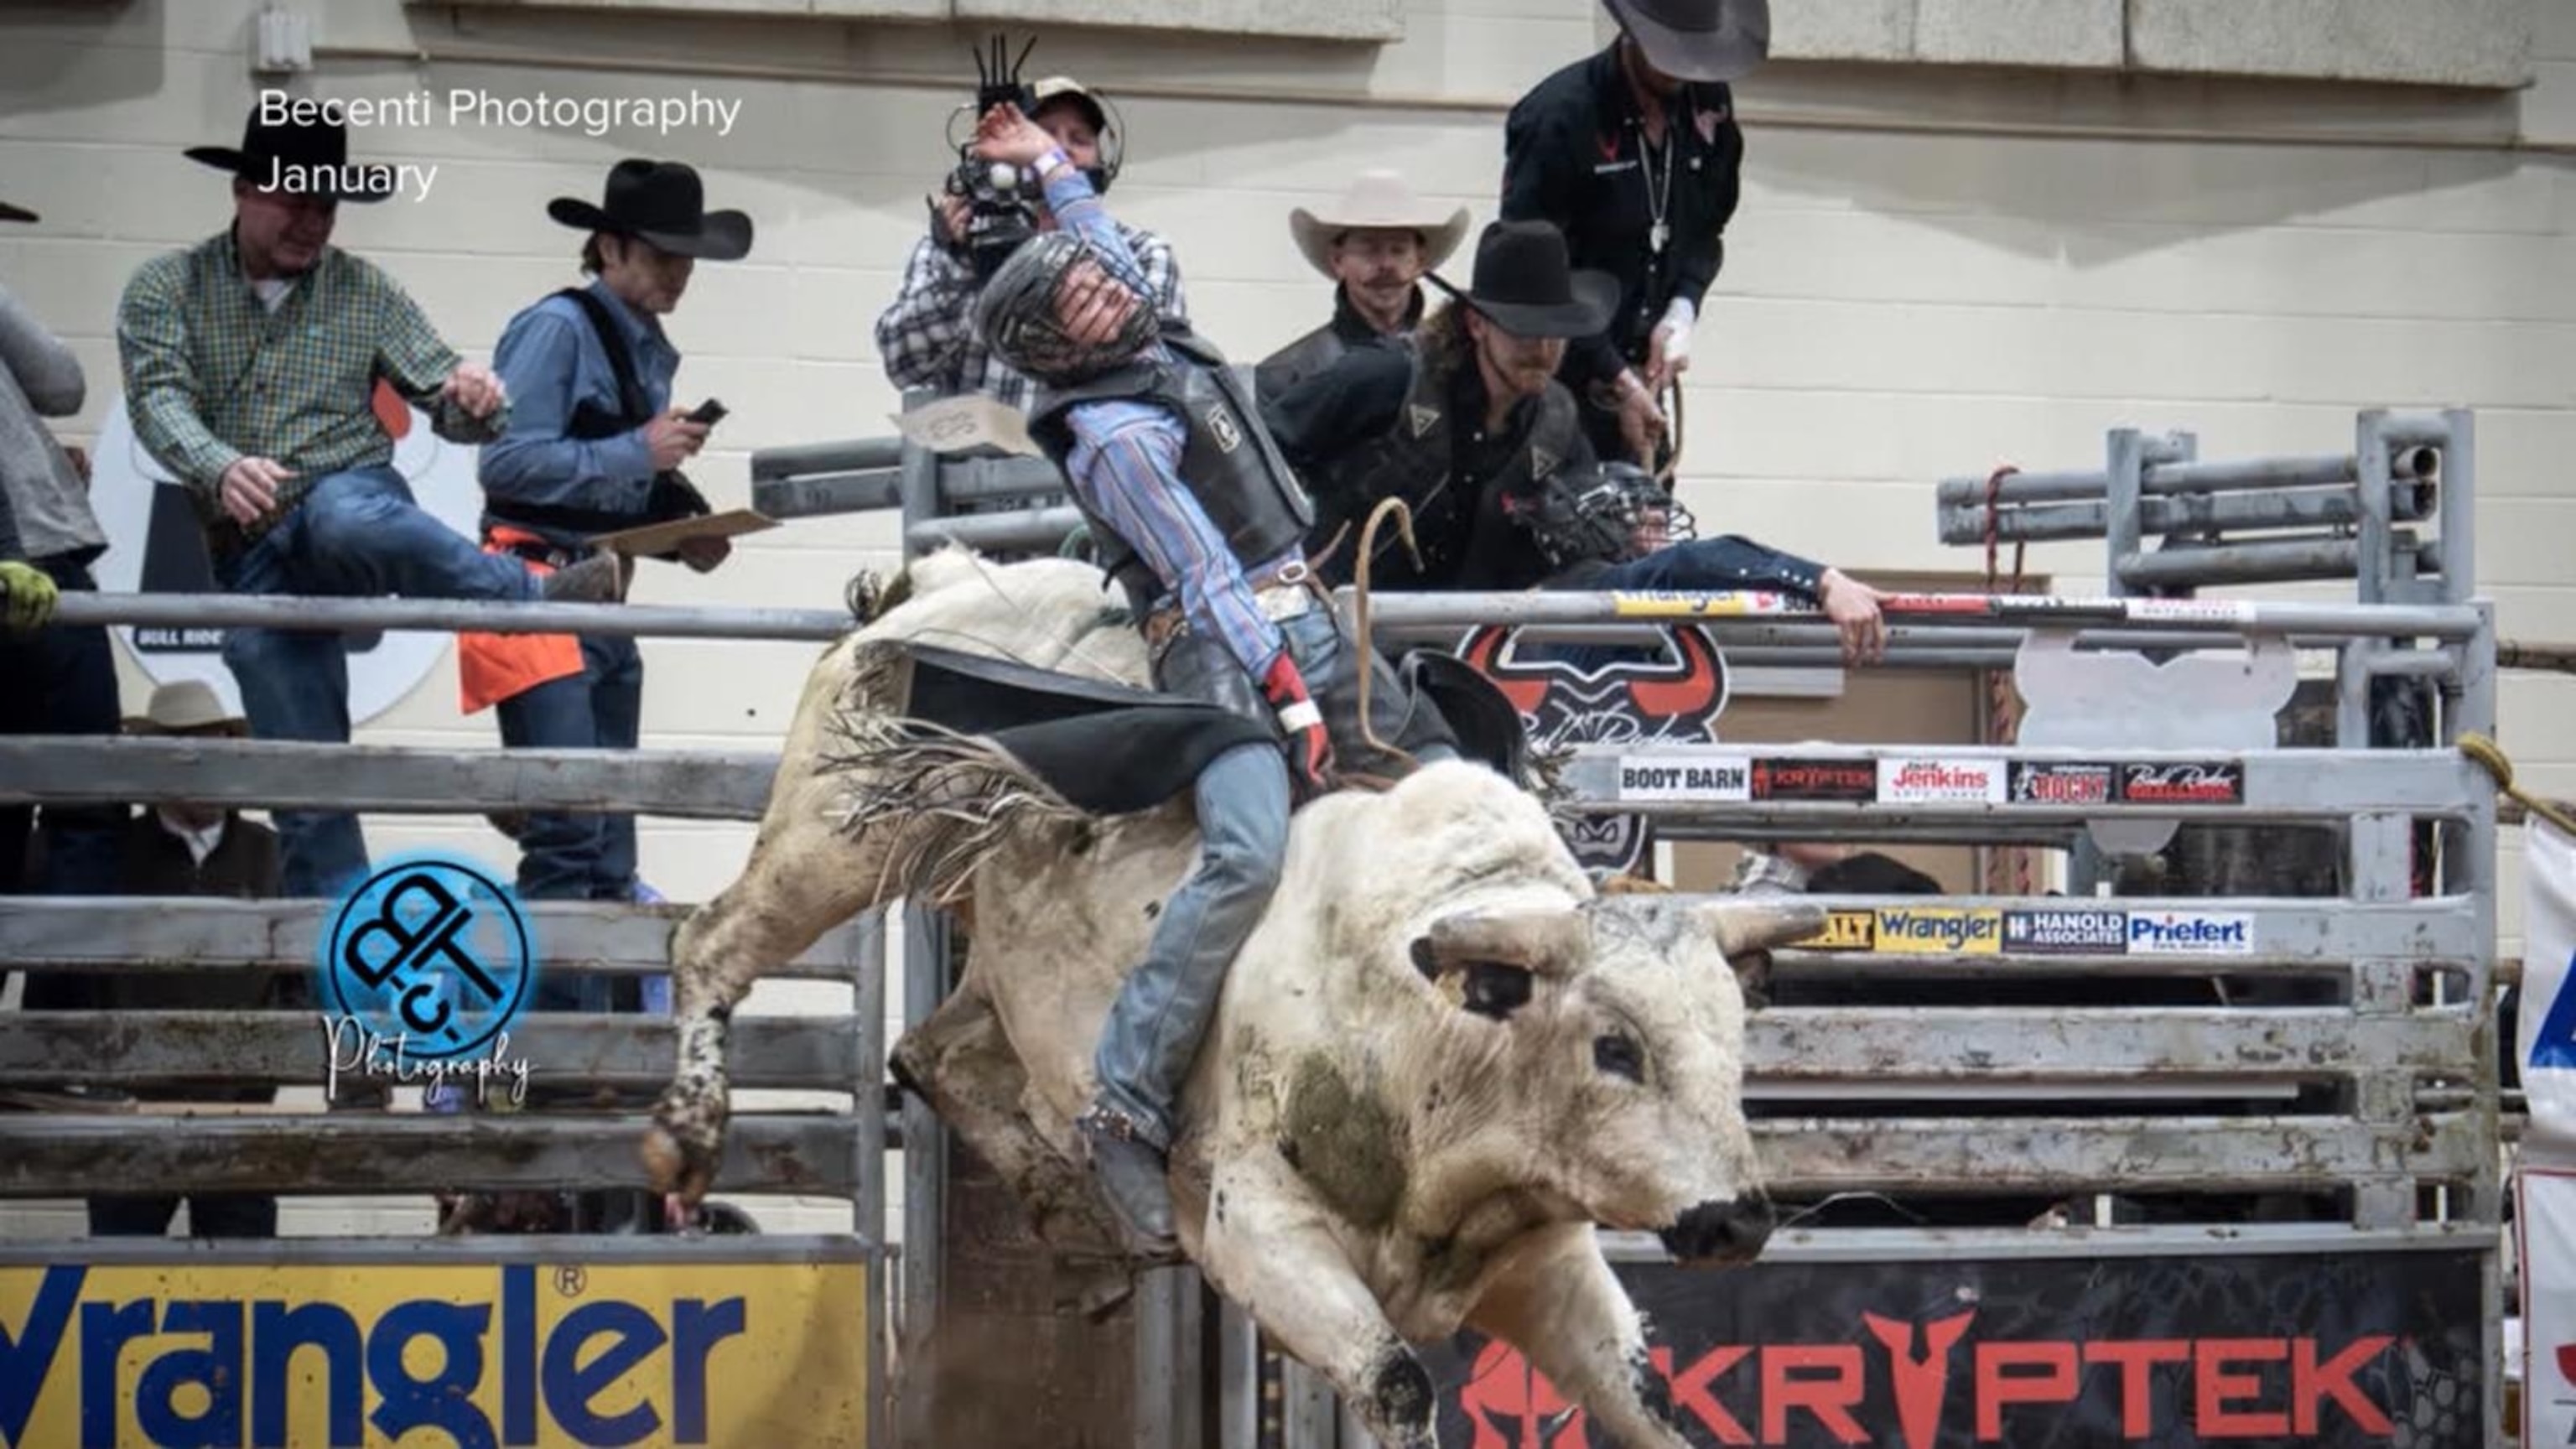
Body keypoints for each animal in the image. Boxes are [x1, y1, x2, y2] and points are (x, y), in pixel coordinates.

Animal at [645, 549, 1820, 1447]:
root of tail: (937, 578)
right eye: (1614, 1047)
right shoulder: (1259, 1233)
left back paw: (1079, 1225)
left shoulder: (1547, 1264)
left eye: (1735, 1039)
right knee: (717, 943)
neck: (1425, 1033)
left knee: (939, 1056)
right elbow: (1397, 1381)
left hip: (1005, 967)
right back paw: (685, 1138)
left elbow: (1646, 1398)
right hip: (836, 832)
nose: (1737, 1219)